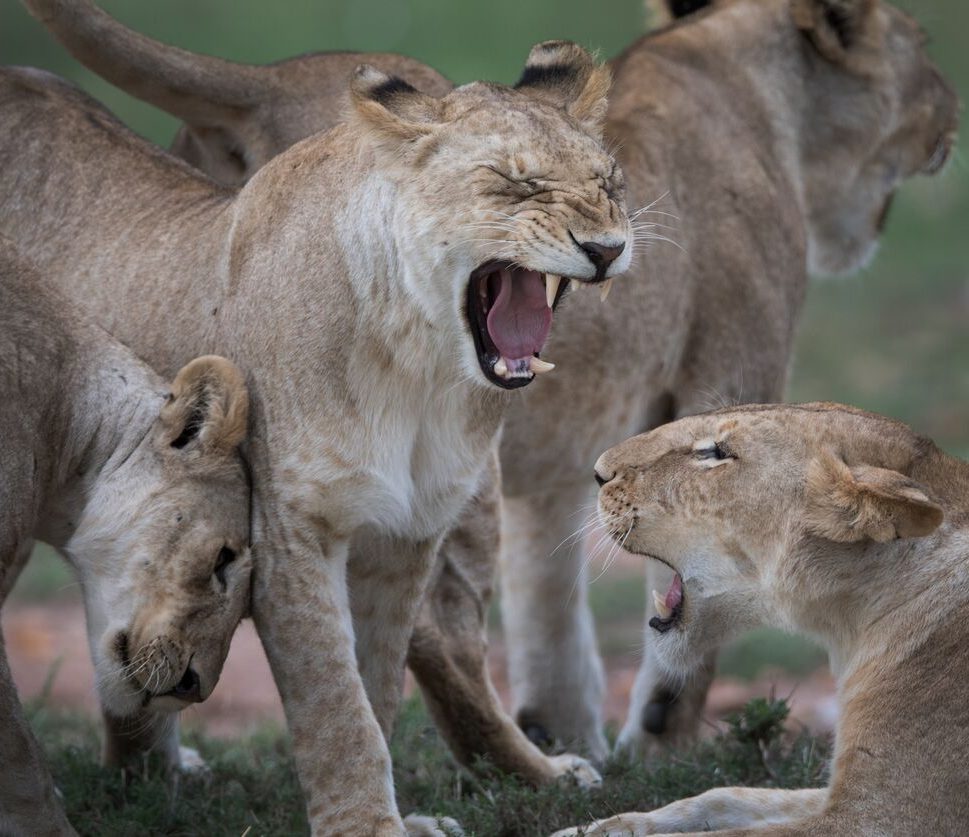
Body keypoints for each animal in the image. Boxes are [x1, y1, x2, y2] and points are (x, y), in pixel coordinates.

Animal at [22, 0, 958, 768]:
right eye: (922, 49)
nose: (951, 112)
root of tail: (264, 81)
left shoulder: (556, 475)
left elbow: (550, 613)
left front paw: (573, 726)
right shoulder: (727, 378)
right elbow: (687, 610)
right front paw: (653, 746)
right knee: (435, 631)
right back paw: (527, 769)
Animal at [553, 401, 969, 836]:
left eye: (716, 452)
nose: (598, 471)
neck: (851, 627)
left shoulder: (881, 817)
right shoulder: (834, 797)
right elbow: (722, 796)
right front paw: (591, 827)